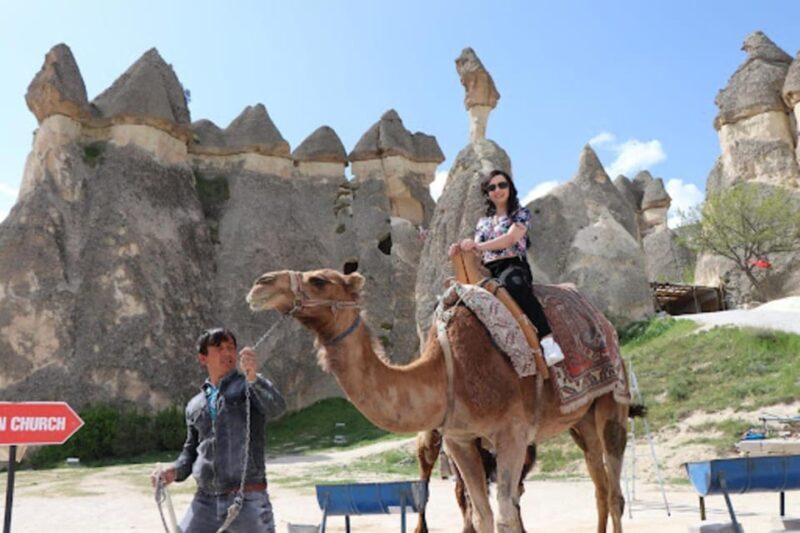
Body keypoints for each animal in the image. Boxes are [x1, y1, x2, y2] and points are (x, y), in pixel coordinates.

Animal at [247, 268, 632, 533]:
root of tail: (599, 316)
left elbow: (506, 514)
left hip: (613, 398)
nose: (260, 284)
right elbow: (481, 515)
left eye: (319, 280)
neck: (450, 371)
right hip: (579, 420)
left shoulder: (512, 433)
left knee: (614, 490)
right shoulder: (459, 438)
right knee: (599, 485)